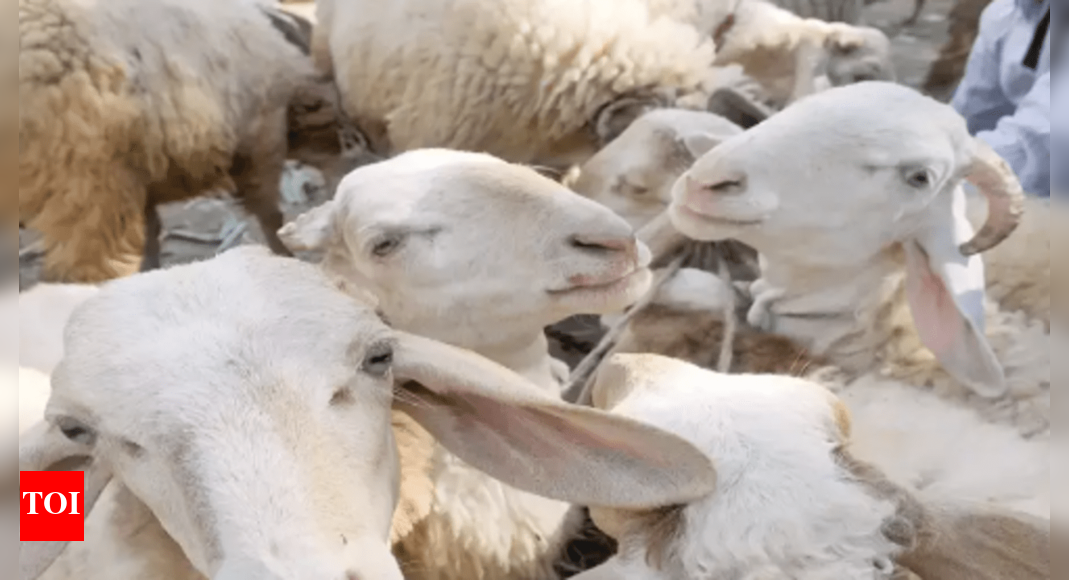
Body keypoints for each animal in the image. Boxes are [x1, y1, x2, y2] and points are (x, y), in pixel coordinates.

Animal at [18, 0, 361, 283]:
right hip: (85, 174)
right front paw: (287, 258)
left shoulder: (141, 166)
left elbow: (151, 229)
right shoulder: (260, 137)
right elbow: (269, 215)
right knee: (85, 262)